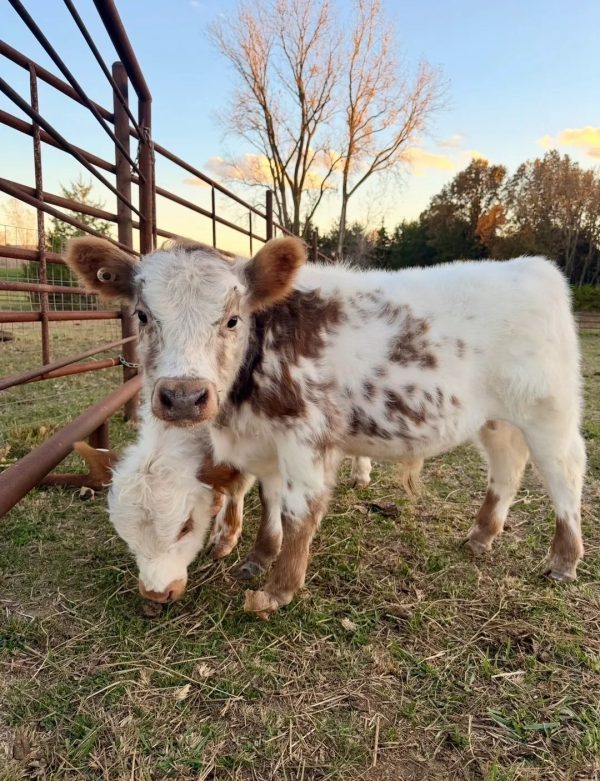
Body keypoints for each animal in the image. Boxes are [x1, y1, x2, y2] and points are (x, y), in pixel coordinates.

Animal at [67, 237, 585, 619]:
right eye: (142, 315)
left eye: (233, 319)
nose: (181, 396)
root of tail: (532, 267)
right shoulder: (264, 444)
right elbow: (267, 500)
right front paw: (257, 557)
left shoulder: (306, 437)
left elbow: (300, 511)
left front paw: (276, 590)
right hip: (496, 420)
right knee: (507, 469)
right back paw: (482, 535)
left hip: (550, 411)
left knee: (564, 473)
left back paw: (563, 560)